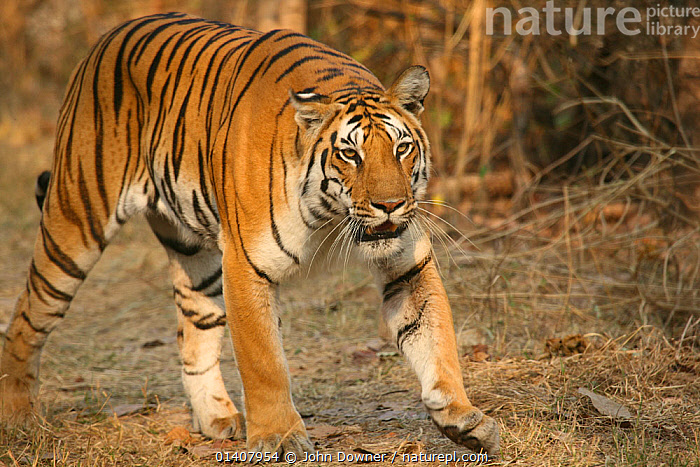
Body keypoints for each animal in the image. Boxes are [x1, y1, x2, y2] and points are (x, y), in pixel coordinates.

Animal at [0, 12, 499, 456]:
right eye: (350, 154)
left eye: (402, 148)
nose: (391, 205)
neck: (331, 217)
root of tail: (106, 37)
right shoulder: (245, 266)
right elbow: (264, 363)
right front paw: (280, 437)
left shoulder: (407, 264)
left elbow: (435, 338)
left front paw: (462, 417)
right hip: (74, 220)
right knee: (26, 316)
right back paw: (19, 418)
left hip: (195, 258)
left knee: (194, 331)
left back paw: (218, 417)